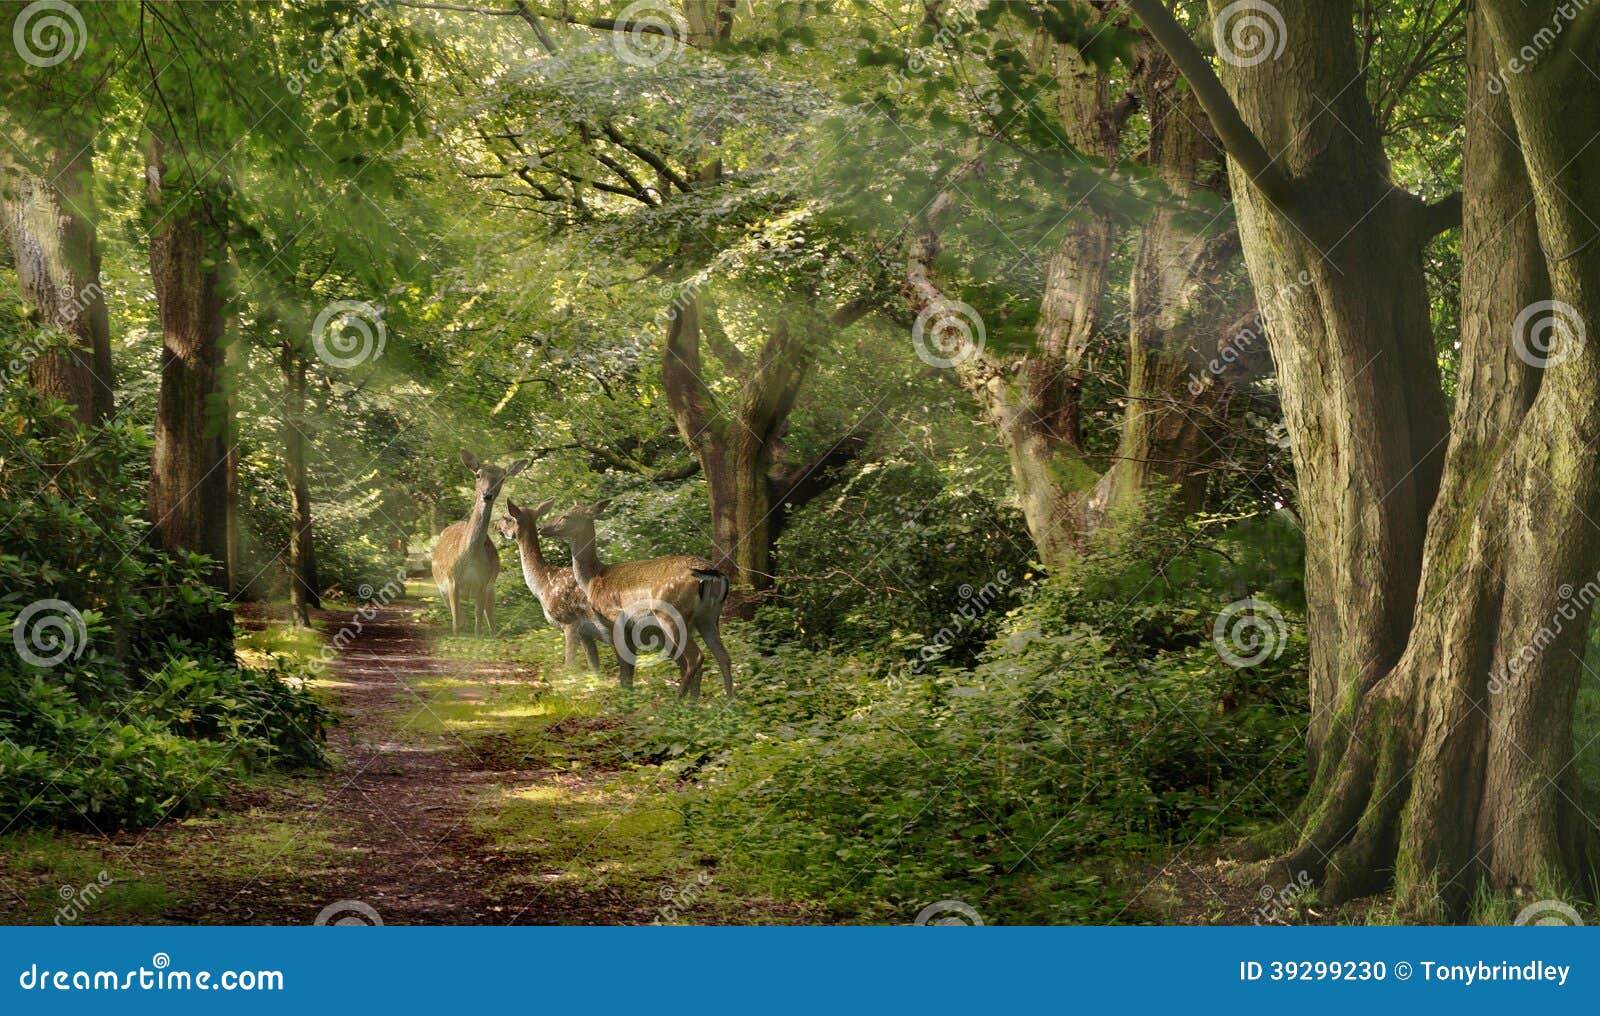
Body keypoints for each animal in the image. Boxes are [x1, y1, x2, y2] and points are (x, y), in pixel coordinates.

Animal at [431, 450, 527, 635]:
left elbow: (479, 617)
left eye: (502, 478)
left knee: (490, 616)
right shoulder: (451, 579)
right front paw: (457, 634)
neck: (470, 557)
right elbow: (456, 618)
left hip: (491, 587)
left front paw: (477, 635)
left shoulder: (483, 582)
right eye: (478, 475)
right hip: (441, 587)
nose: (487, 494)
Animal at [493, 497, 607, 671]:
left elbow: (569, 665)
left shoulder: (569, 621)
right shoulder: (586, 633)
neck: (544, 582)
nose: (495, 525)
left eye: (506, 517)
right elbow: (594, 667)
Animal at [539, 499, 733, 698]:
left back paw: (679, 699)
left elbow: (625, 665)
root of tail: (711, 574)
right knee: (723, 656)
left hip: (672, 614)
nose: (542, 528)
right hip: (709, 617)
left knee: (696, 657)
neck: (592, 580)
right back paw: (725, 700)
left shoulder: (614, 617)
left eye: (566, 515)